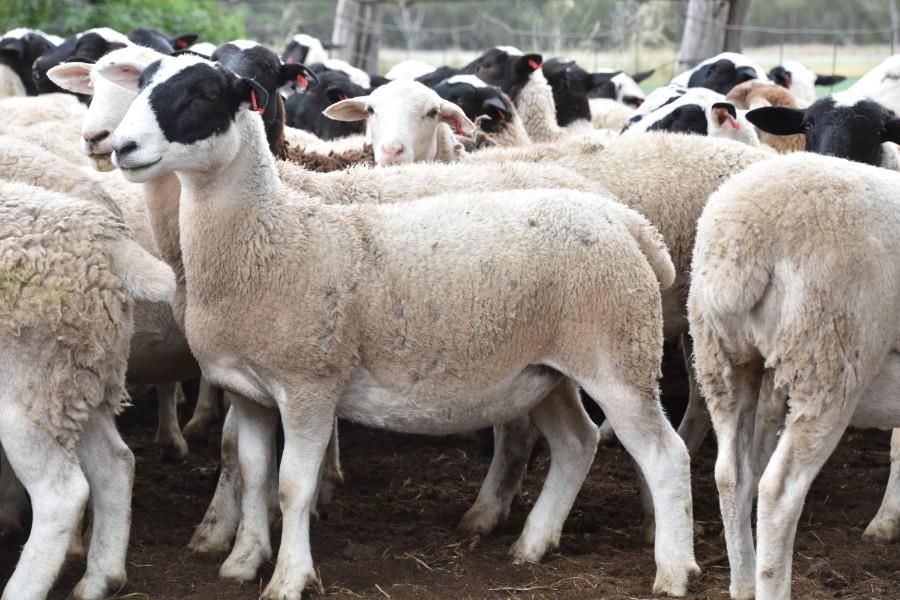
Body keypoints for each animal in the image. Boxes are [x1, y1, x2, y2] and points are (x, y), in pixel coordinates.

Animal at [0, 179, 176, 600]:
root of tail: (101, 235)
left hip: (27, 390)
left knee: (60, 493)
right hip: (77, 380)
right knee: (116, 462)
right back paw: (101, 579)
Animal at [687, 152, 900, 600]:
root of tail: (740, 247)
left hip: (722, 361)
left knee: (731, 475)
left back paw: (743, 584)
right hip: (827, 364)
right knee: (778, 492)